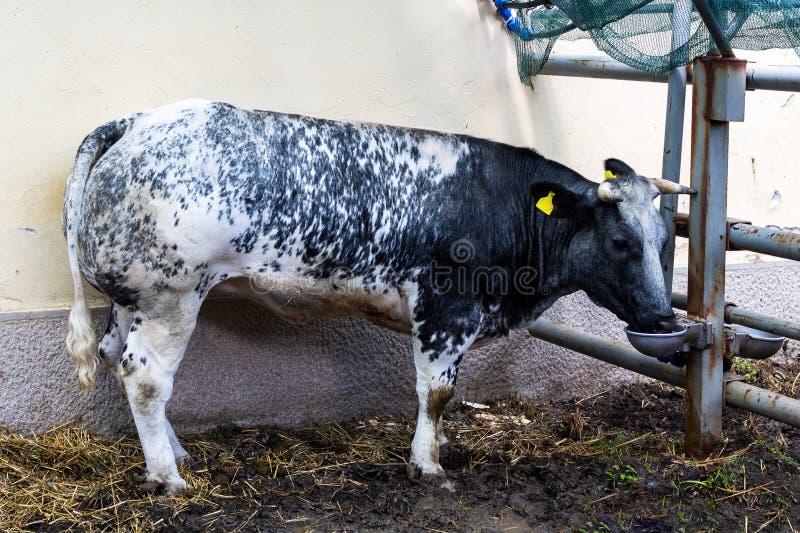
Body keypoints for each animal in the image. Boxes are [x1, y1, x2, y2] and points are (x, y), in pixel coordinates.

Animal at [63, 99, 693, 494]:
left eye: (666, 240)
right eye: (620, 241)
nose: (663, 315)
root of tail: (138, 121)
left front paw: (437, 447)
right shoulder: (445, 311)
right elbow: (437, 393)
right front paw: (427, 463)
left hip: (132, 299)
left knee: (117, 357)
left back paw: (175, 454)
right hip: (171, 296)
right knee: (145, 377)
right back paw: (168, 477)